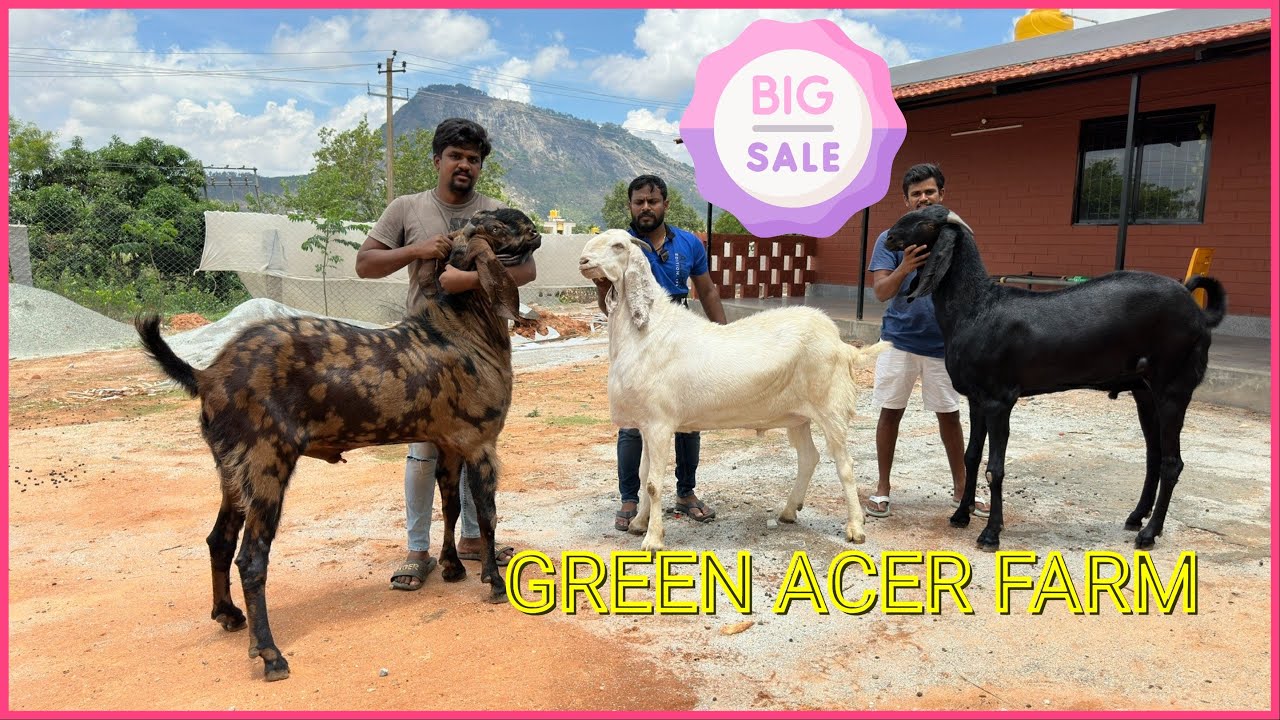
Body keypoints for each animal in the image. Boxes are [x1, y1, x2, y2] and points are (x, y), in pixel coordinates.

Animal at [135, 208, 541, 681]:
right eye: (496, 227)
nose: (534, 229)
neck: (460, 331)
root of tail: (206, 375)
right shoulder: (480, 441)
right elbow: (489, 514)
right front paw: (493, 583)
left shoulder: (447, 441)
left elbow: (451, 505)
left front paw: (453, 567)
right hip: (265, 460)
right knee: (251, 557)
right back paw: (270, 654)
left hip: (231, 469)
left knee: (219, 539)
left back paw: (228, 614)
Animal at [579, 229, 889, 551]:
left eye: (618, 245)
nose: (584, 261)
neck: (649, 331)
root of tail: (842, 345)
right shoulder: (645, 424)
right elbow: (642, 476)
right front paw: (639, 524)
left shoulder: (659, 423)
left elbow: (652, 483)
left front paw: (653, 540)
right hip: (798, 416)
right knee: (808, 457)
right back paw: (789, 511)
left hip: (830, 408)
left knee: (845, 465)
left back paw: (855, 528)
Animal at [884, 204, 1227, 551]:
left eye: (927, 222)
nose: (890, 237)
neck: (977, 307)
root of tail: (1197, 311)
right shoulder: (976, 399)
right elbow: (971, 456)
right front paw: (960, 515)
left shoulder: (999, 399)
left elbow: (995, 468)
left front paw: (991, 532)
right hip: (1145, 391)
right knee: (1153, 455)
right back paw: (1135, 517)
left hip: (1174, 385)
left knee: (1172, 462)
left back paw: (1149, 533)